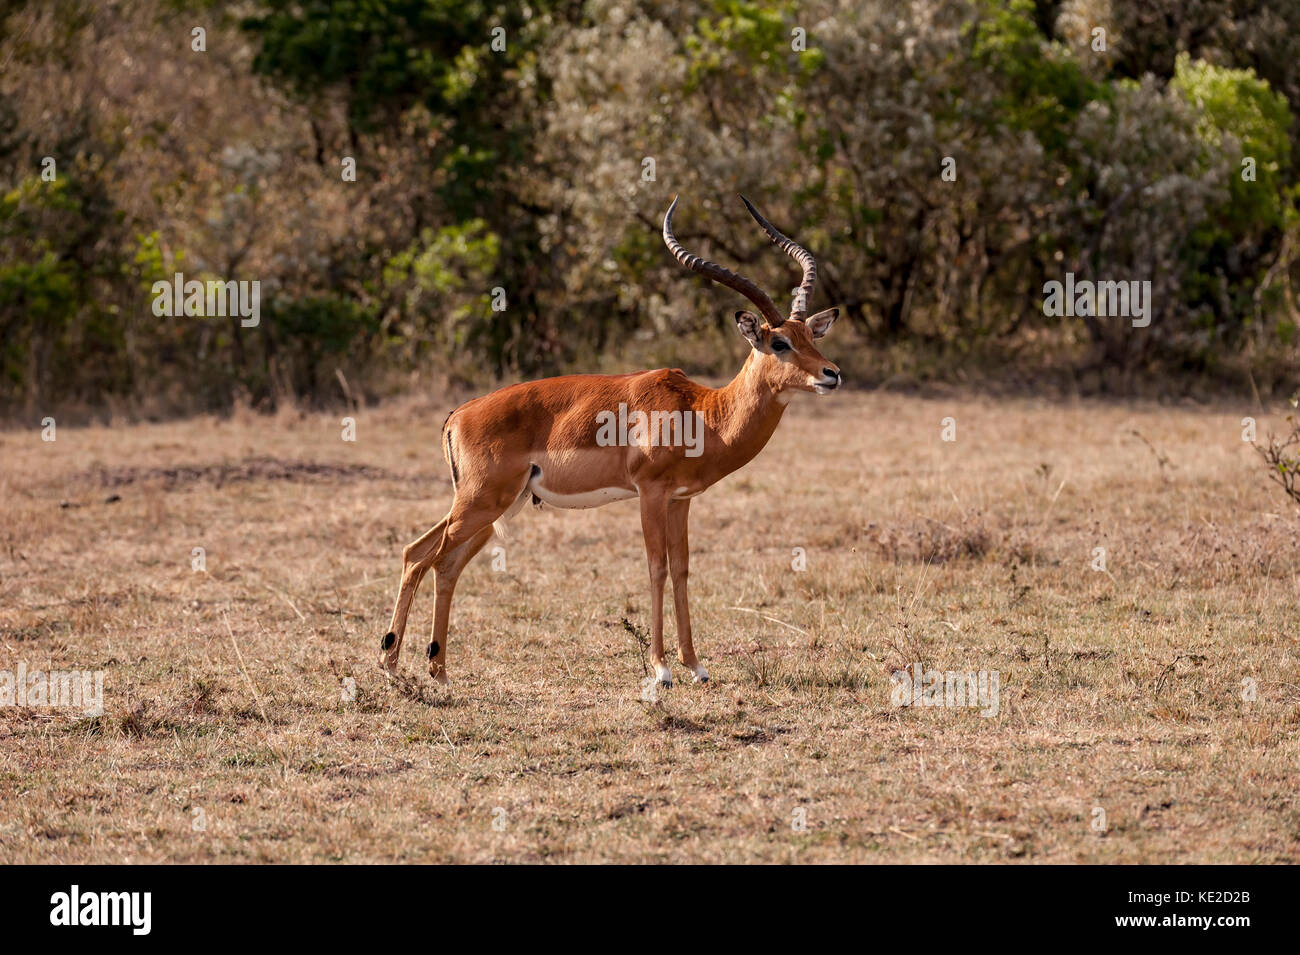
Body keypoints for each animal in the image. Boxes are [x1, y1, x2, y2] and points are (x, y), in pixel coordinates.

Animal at [379, 195, 841, 686]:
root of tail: (458, 415)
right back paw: (404, 666)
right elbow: (656, 568)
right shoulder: (650, 493)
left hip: (490, 508)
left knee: (428, 557)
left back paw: (424, 668)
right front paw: (661, 670)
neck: (704, 412)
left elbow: (682, 570)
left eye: (810, 335)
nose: (831, 374)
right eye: (778, 343)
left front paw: (695, 665)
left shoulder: (681, 500)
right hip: (481, 503)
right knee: (428, 559)